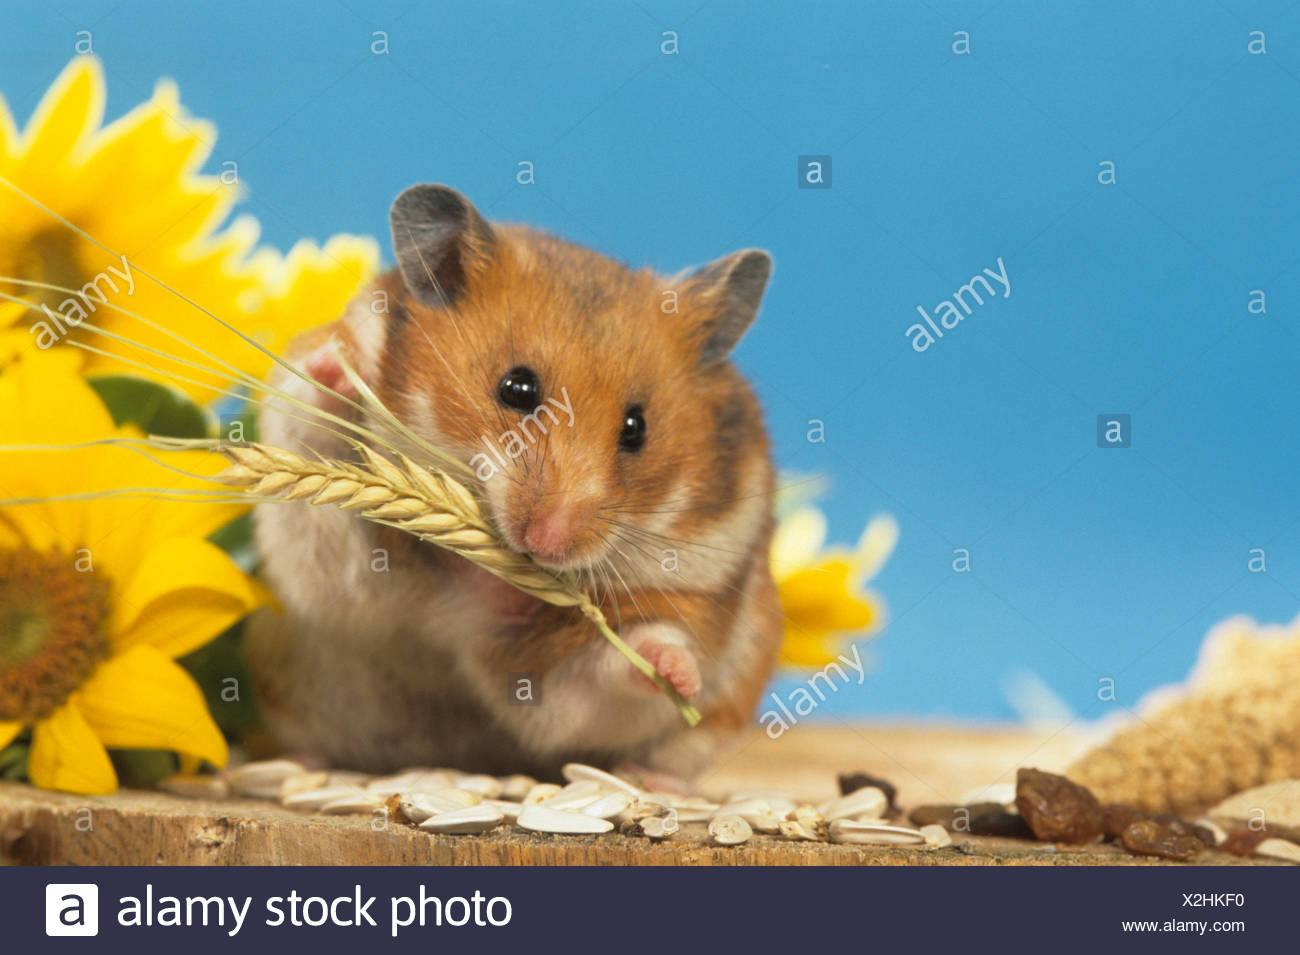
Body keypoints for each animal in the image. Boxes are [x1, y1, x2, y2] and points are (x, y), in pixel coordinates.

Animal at [245, 184, 782, 781]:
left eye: (637, 428)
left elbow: (610, 668)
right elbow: (318, 427)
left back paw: (650, 777)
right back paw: (295, 765)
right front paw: (338, 371)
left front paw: (676, 674)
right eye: (517, 388)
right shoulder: (349, 567)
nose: (545, 545)